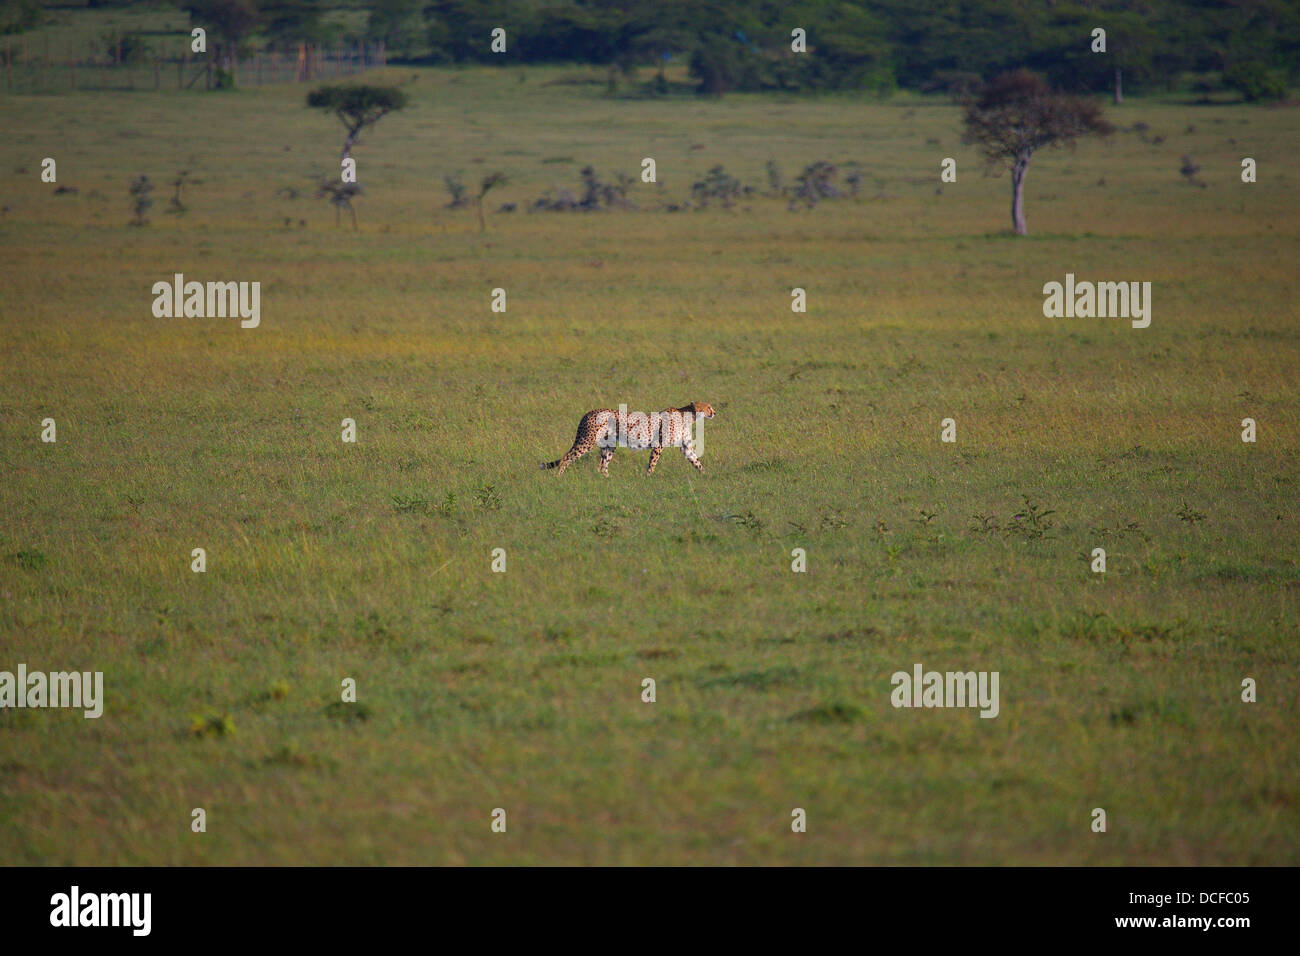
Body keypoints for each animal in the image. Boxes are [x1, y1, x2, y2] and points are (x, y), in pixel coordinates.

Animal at [540, 402, 716, 476]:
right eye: (708, 407)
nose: (715, 412)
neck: (689, 417)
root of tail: (588, 412)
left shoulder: (685, 447)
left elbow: (696, 460)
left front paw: (706, 475)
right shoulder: (658, 445)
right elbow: (652, 463)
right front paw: (648, 478)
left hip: (609, 445)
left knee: (602, 465)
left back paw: (607, 480)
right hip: (587, 442)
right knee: (567, 457)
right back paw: (558, 477)